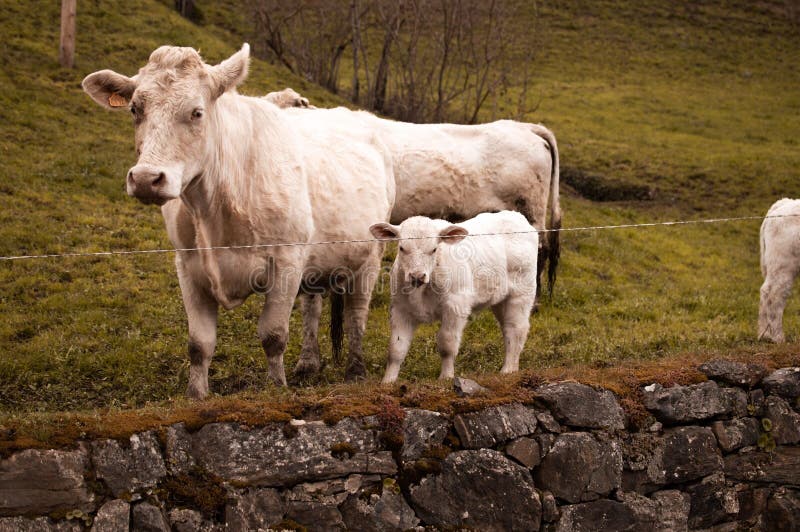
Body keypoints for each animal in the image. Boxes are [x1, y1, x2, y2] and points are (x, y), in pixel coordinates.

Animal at [82, 44, 395, 398]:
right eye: (135, 109)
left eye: (197, 112)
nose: (147, 179)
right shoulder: (188, 266)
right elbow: (199, 343)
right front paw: (197, 395)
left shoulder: (287, 261)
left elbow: (273, 335)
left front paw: (276, 387)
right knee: (312, 308)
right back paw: (307, 364)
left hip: (369, 257)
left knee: (357, 313)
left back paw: (355, 370)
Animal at [369, 211, 539, 383]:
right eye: (402, 248)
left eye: (434, 249)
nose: (417, 276)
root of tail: (516, 216)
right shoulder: (400, 309)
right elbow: (396, 348)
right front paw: (388, 381)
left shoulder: (455, 306)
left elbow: (447, 344)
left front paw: (446, 376)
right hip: (500, 300)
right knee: (507, 330)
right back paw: (513, 368)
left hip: (521, 292)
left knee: (516, 329)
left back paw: (507, 370)